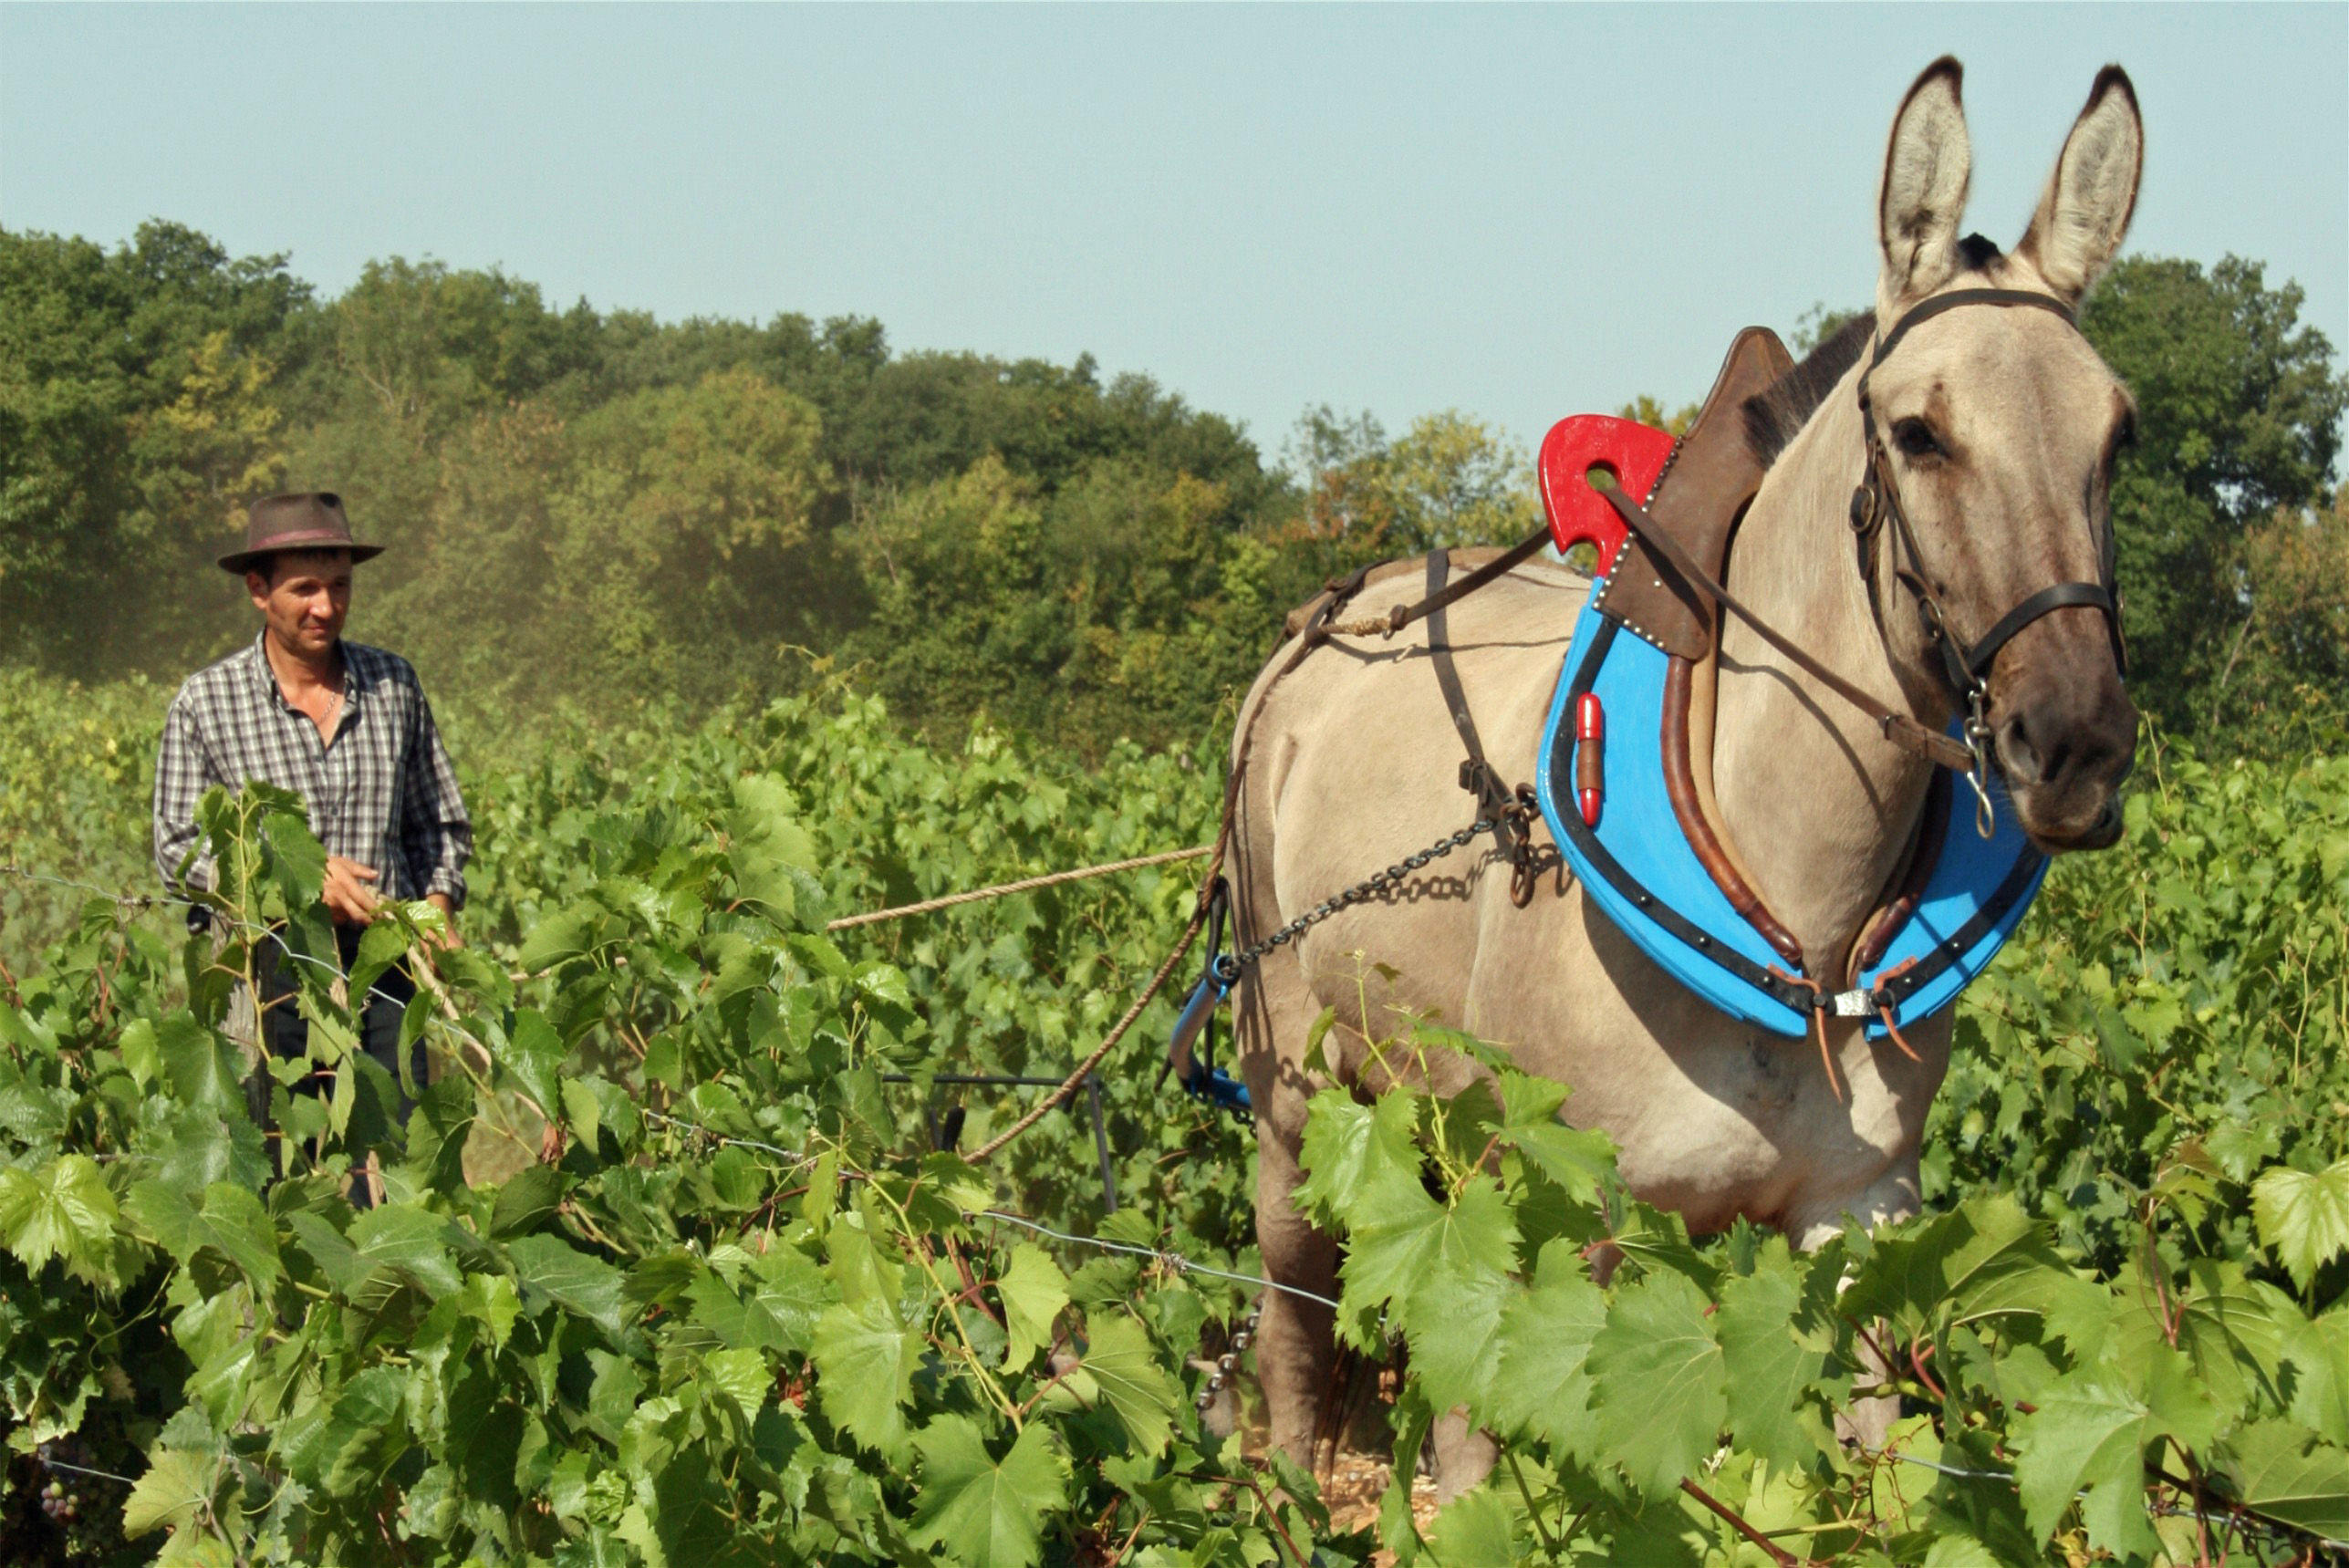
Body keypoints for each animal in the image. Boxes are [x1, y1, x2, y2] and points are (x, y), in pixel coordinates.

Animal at [1227, 57, 2145, 1489]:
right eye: (1919, 432)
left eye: (2118, 435)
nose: (2076, 744)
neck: (1791, 909)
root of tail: (1321, 623)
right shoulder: (1554, 1228)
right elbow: (1483, 1467)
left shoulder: (1858, 1219)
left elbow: (1875, 1473)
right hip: (1292, 1097)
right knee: (1291, 1315)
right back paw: (1287, 1490)